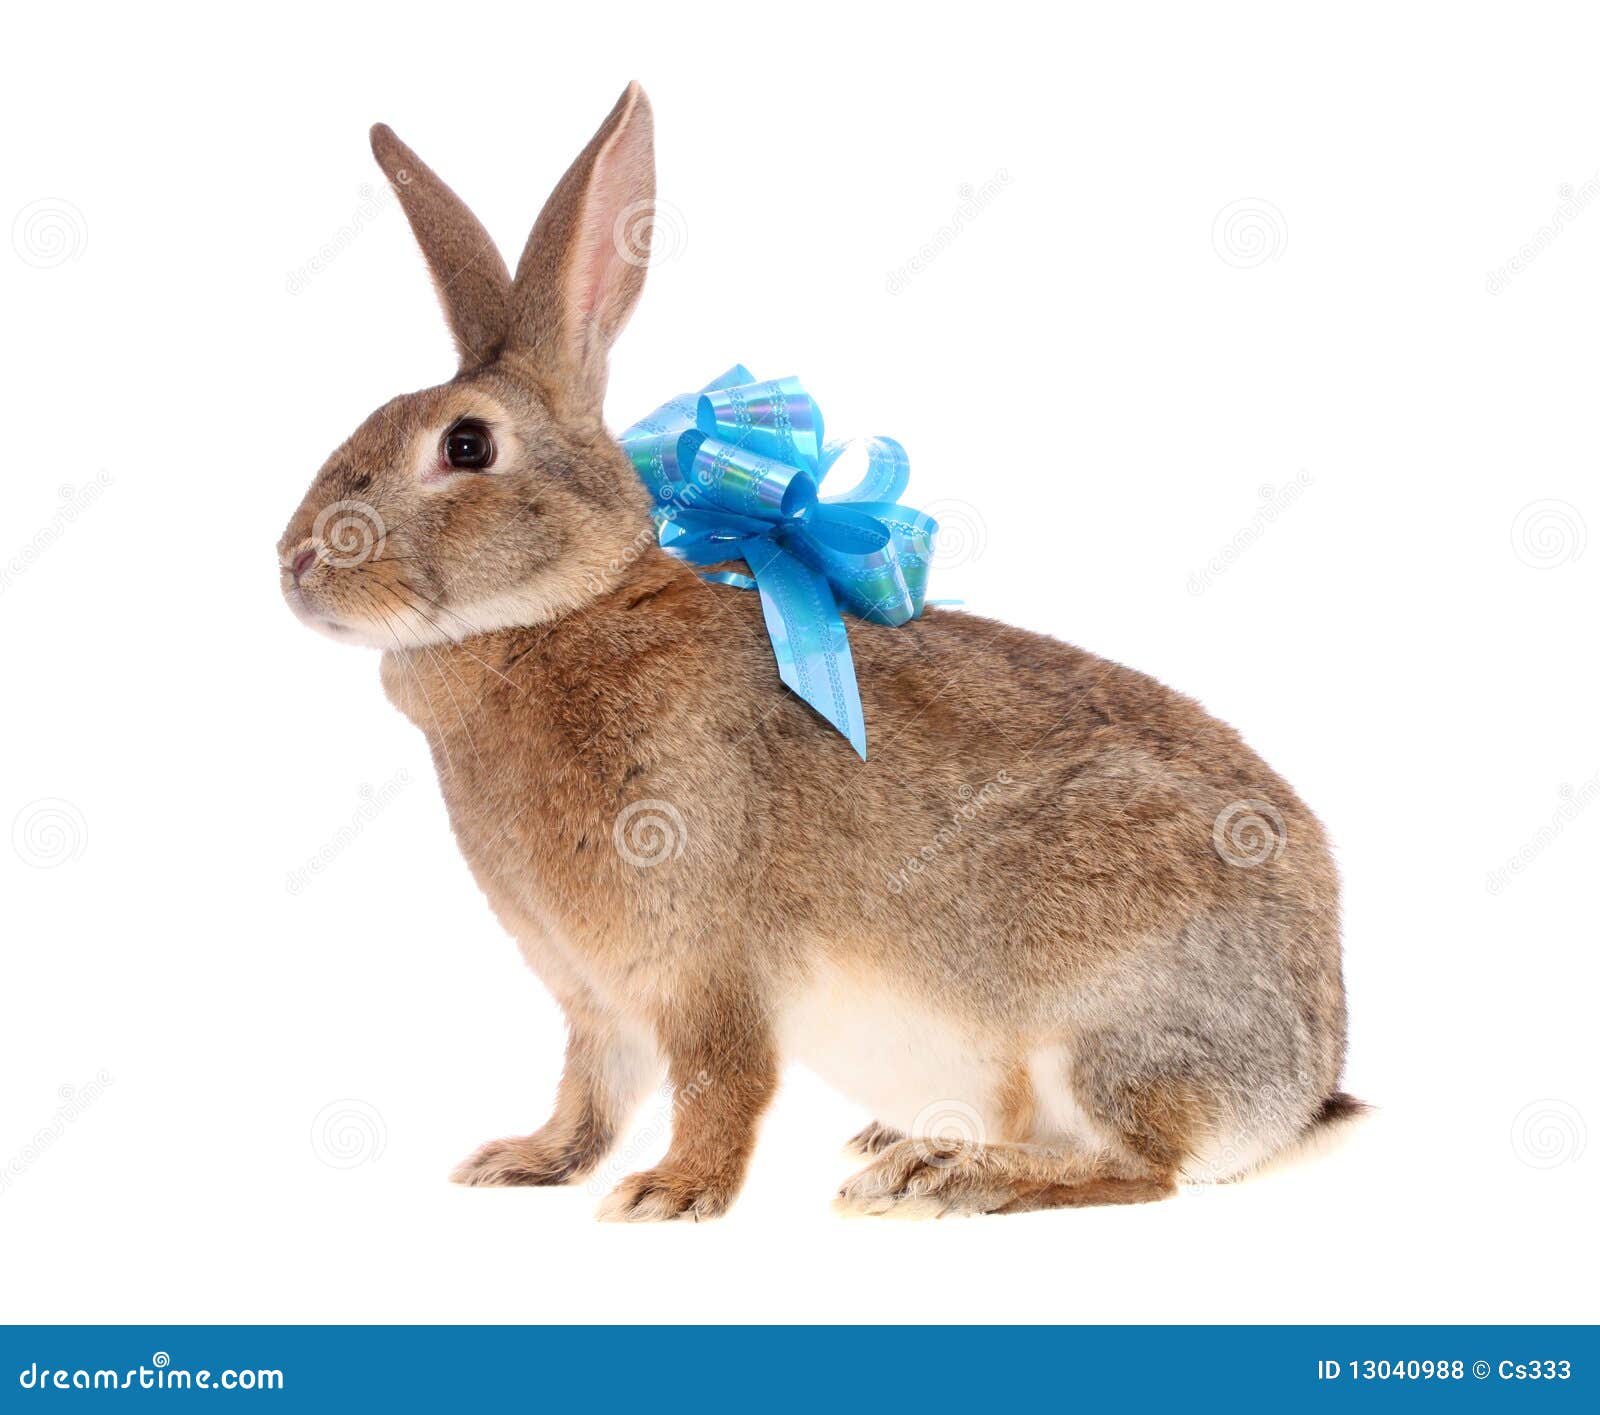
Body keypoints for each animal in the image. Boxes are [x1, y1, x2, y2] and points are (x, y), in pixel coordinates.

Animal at [277, 81, 1359, 1220]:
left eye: (467, 445)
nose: (295, 559)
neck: (549, 620)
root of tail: (1300, 1088)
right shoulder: (596, 996)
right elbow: (591, 1090)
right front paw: (525, 1161)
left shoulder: (707, 964)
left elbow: (720, 1082)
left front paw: (669, 1194)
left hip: (1103, 1024)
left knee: (1139, 1164)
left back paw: (942, 1171)